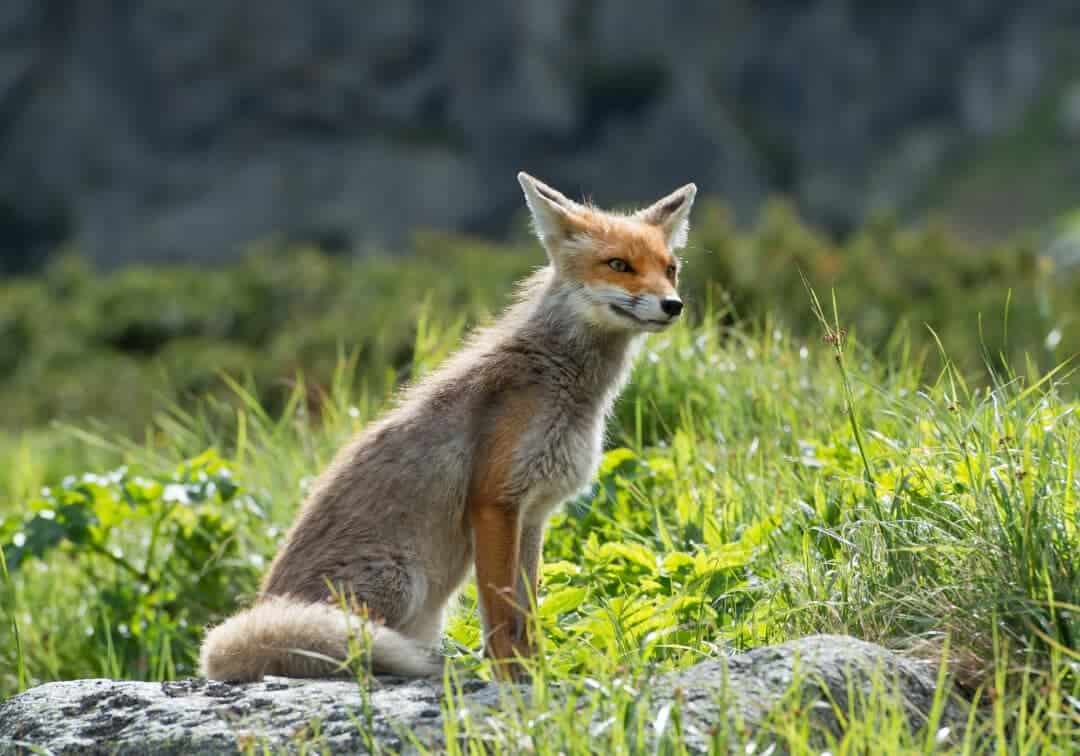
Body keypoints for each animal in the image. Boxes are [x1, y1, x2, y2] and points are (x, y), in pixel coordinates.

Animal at [199, 172, 696, 682]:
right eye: (618, 265)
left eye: (670, 269)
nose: (673, 305)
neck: (560, 382)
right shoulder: (494, 503)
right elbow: (500, 618)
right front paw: (510, 680)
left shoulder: (533, 513)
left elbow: (528, 613)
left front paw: (539, 676)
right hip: (401, 582)